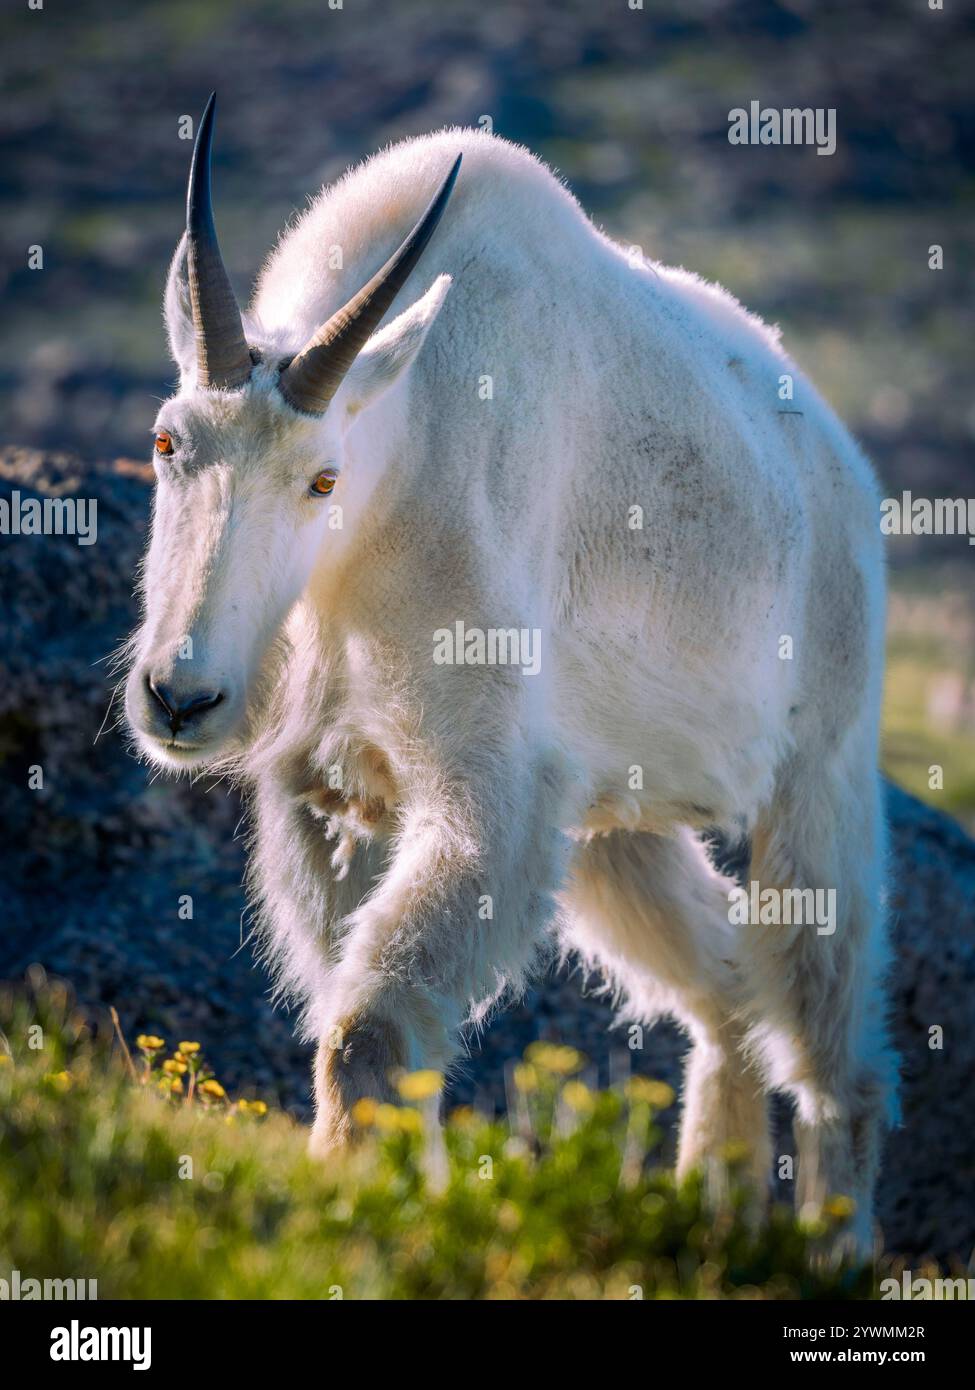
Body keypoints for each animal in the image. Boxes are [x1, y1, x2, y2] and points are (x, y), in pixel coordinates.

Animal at [125, 95, 898, 1249]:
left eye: (321, 479)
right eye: (168, 440)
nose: (179, 699)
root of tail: (843, 471)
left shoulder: (491, 788)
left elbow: (367, 1028)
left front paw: (360, 1201)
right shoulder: (320, 790)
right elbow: (351, 1001)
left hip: (821, 775)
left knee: (828, 1027)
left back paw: (829, 1247)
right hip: (617, 816)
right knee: (725, 981)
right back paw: (710, 1205)